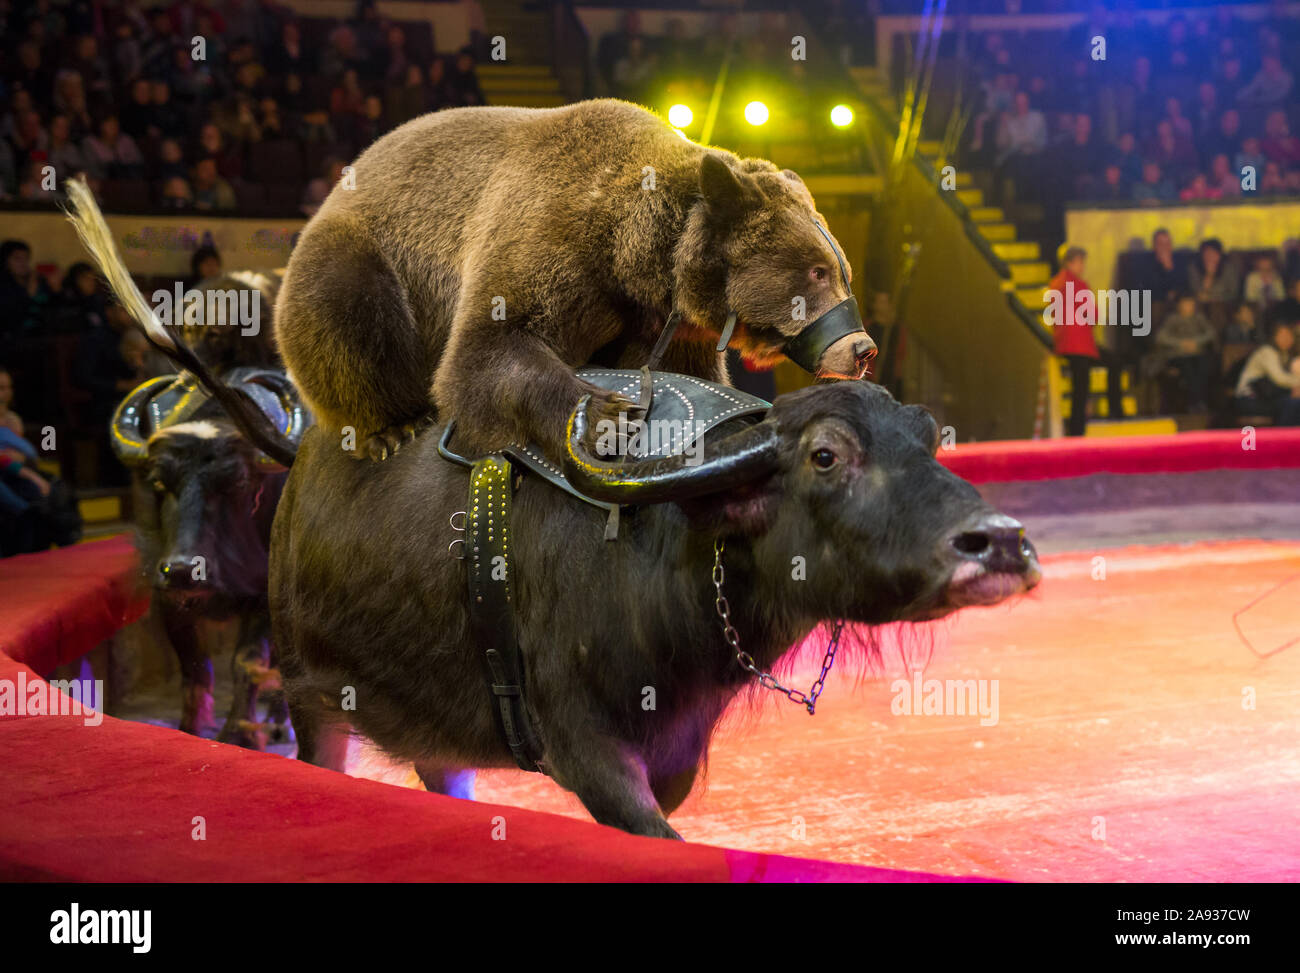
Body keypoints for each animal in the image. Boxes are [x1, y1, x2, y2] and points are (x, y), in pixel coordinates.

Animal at [274, 98, 874, 463]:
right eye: (817, 271)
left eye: (842, 271)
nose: (862, 349)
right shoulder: (549, 232)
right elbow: (487, 349)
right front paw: (607, 413)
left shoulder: (661, 322)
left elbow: (689, 375)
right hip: (365, 254)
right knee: (346, 311)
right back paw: (387, 428)